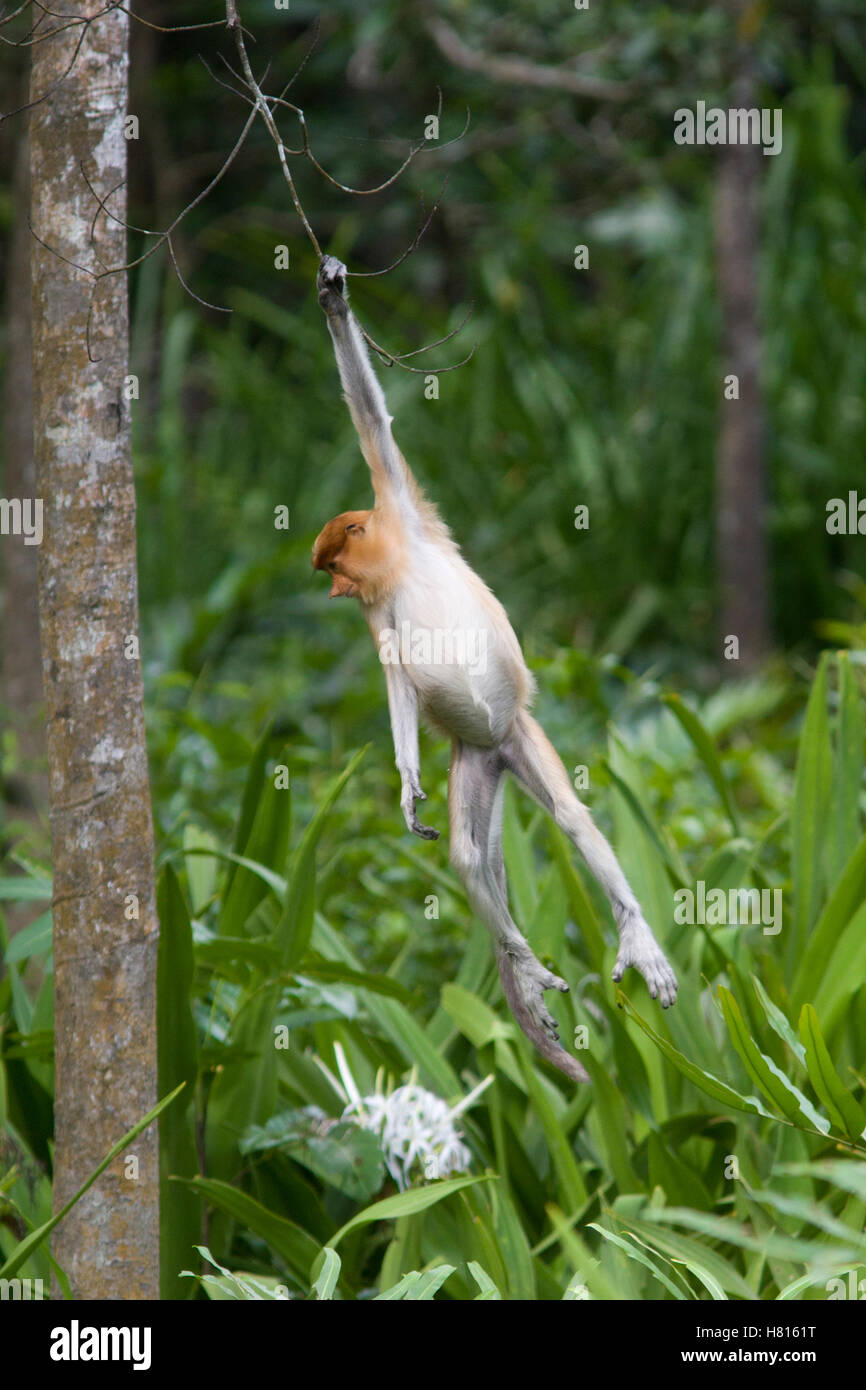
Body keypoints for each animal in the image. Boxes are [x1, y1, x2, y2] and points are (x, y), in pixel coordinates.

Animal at [312, 256, 677, 1084]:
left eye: (336, 564)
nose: (333, 592)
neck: (397, 558)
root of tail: (497, 747)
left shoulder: (401, 504)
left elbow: (371, 418)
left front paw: (335, 296)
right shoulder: (380, 613)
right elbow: (395, 673)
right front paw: (407, 787)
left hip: (522, 736)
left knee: (572, 818)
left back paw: (628, 935)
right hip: (477, 760)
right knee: (468, 854)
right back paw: (519, 956)